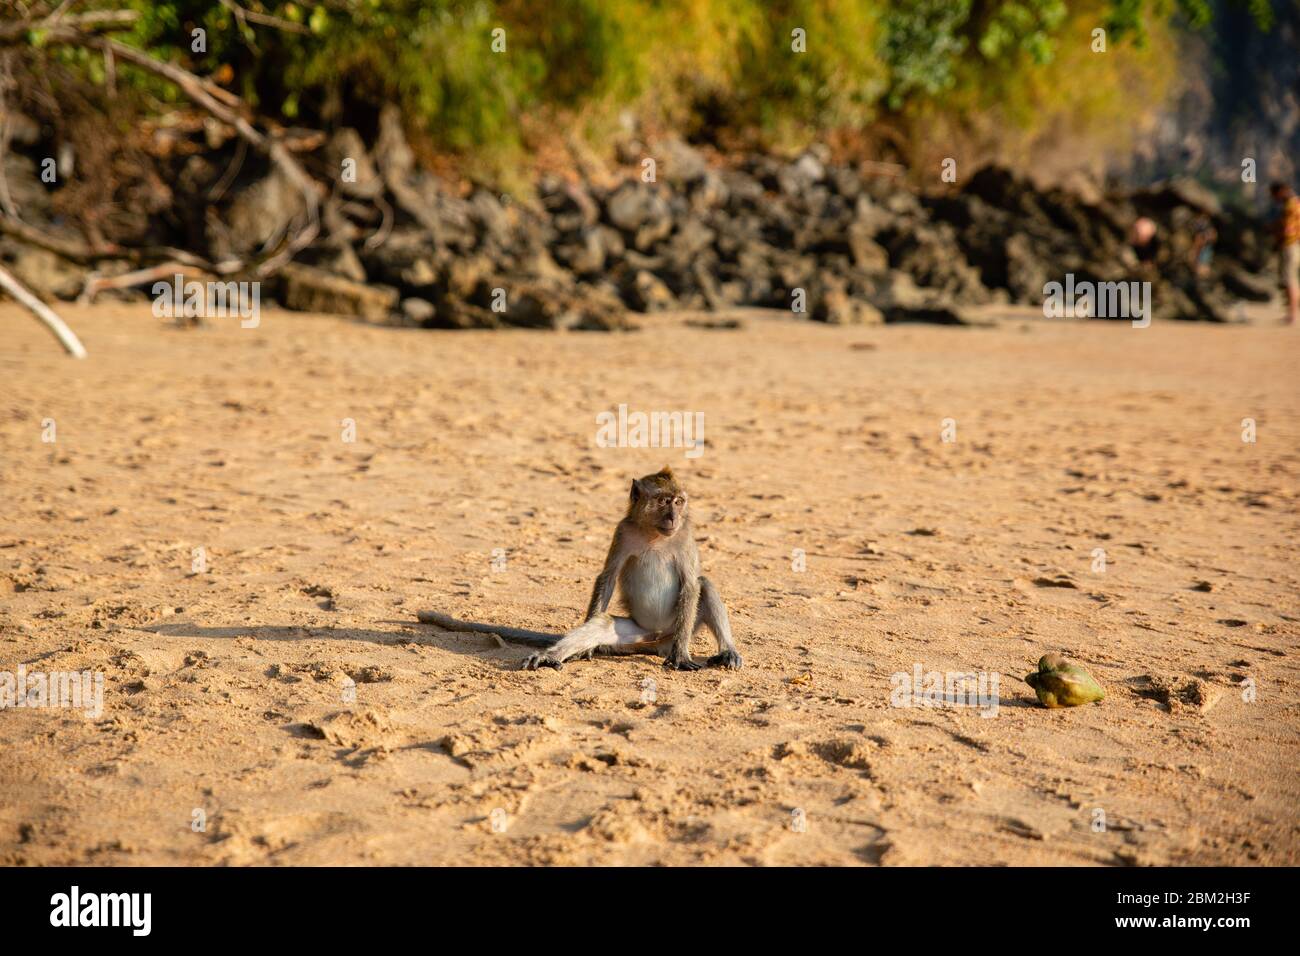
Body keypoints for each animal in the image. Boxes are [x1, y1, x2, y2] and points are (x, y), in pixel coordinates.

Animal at [417, 467, 742, 672]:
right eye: (663, 501)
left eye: (679, 502)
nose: (674, 517)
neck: (654, 534)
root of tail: (658, 639)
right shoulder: (622, 531)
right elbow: (607, 577)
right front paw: (579, 649)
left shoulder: (685, 536)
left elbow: (691, 584)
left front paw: (682, 654)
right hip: (636, 634)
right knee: (603, 624)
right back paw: (552, 656)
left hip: (675, 628)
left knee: (704, 585)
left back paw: (723, 650)